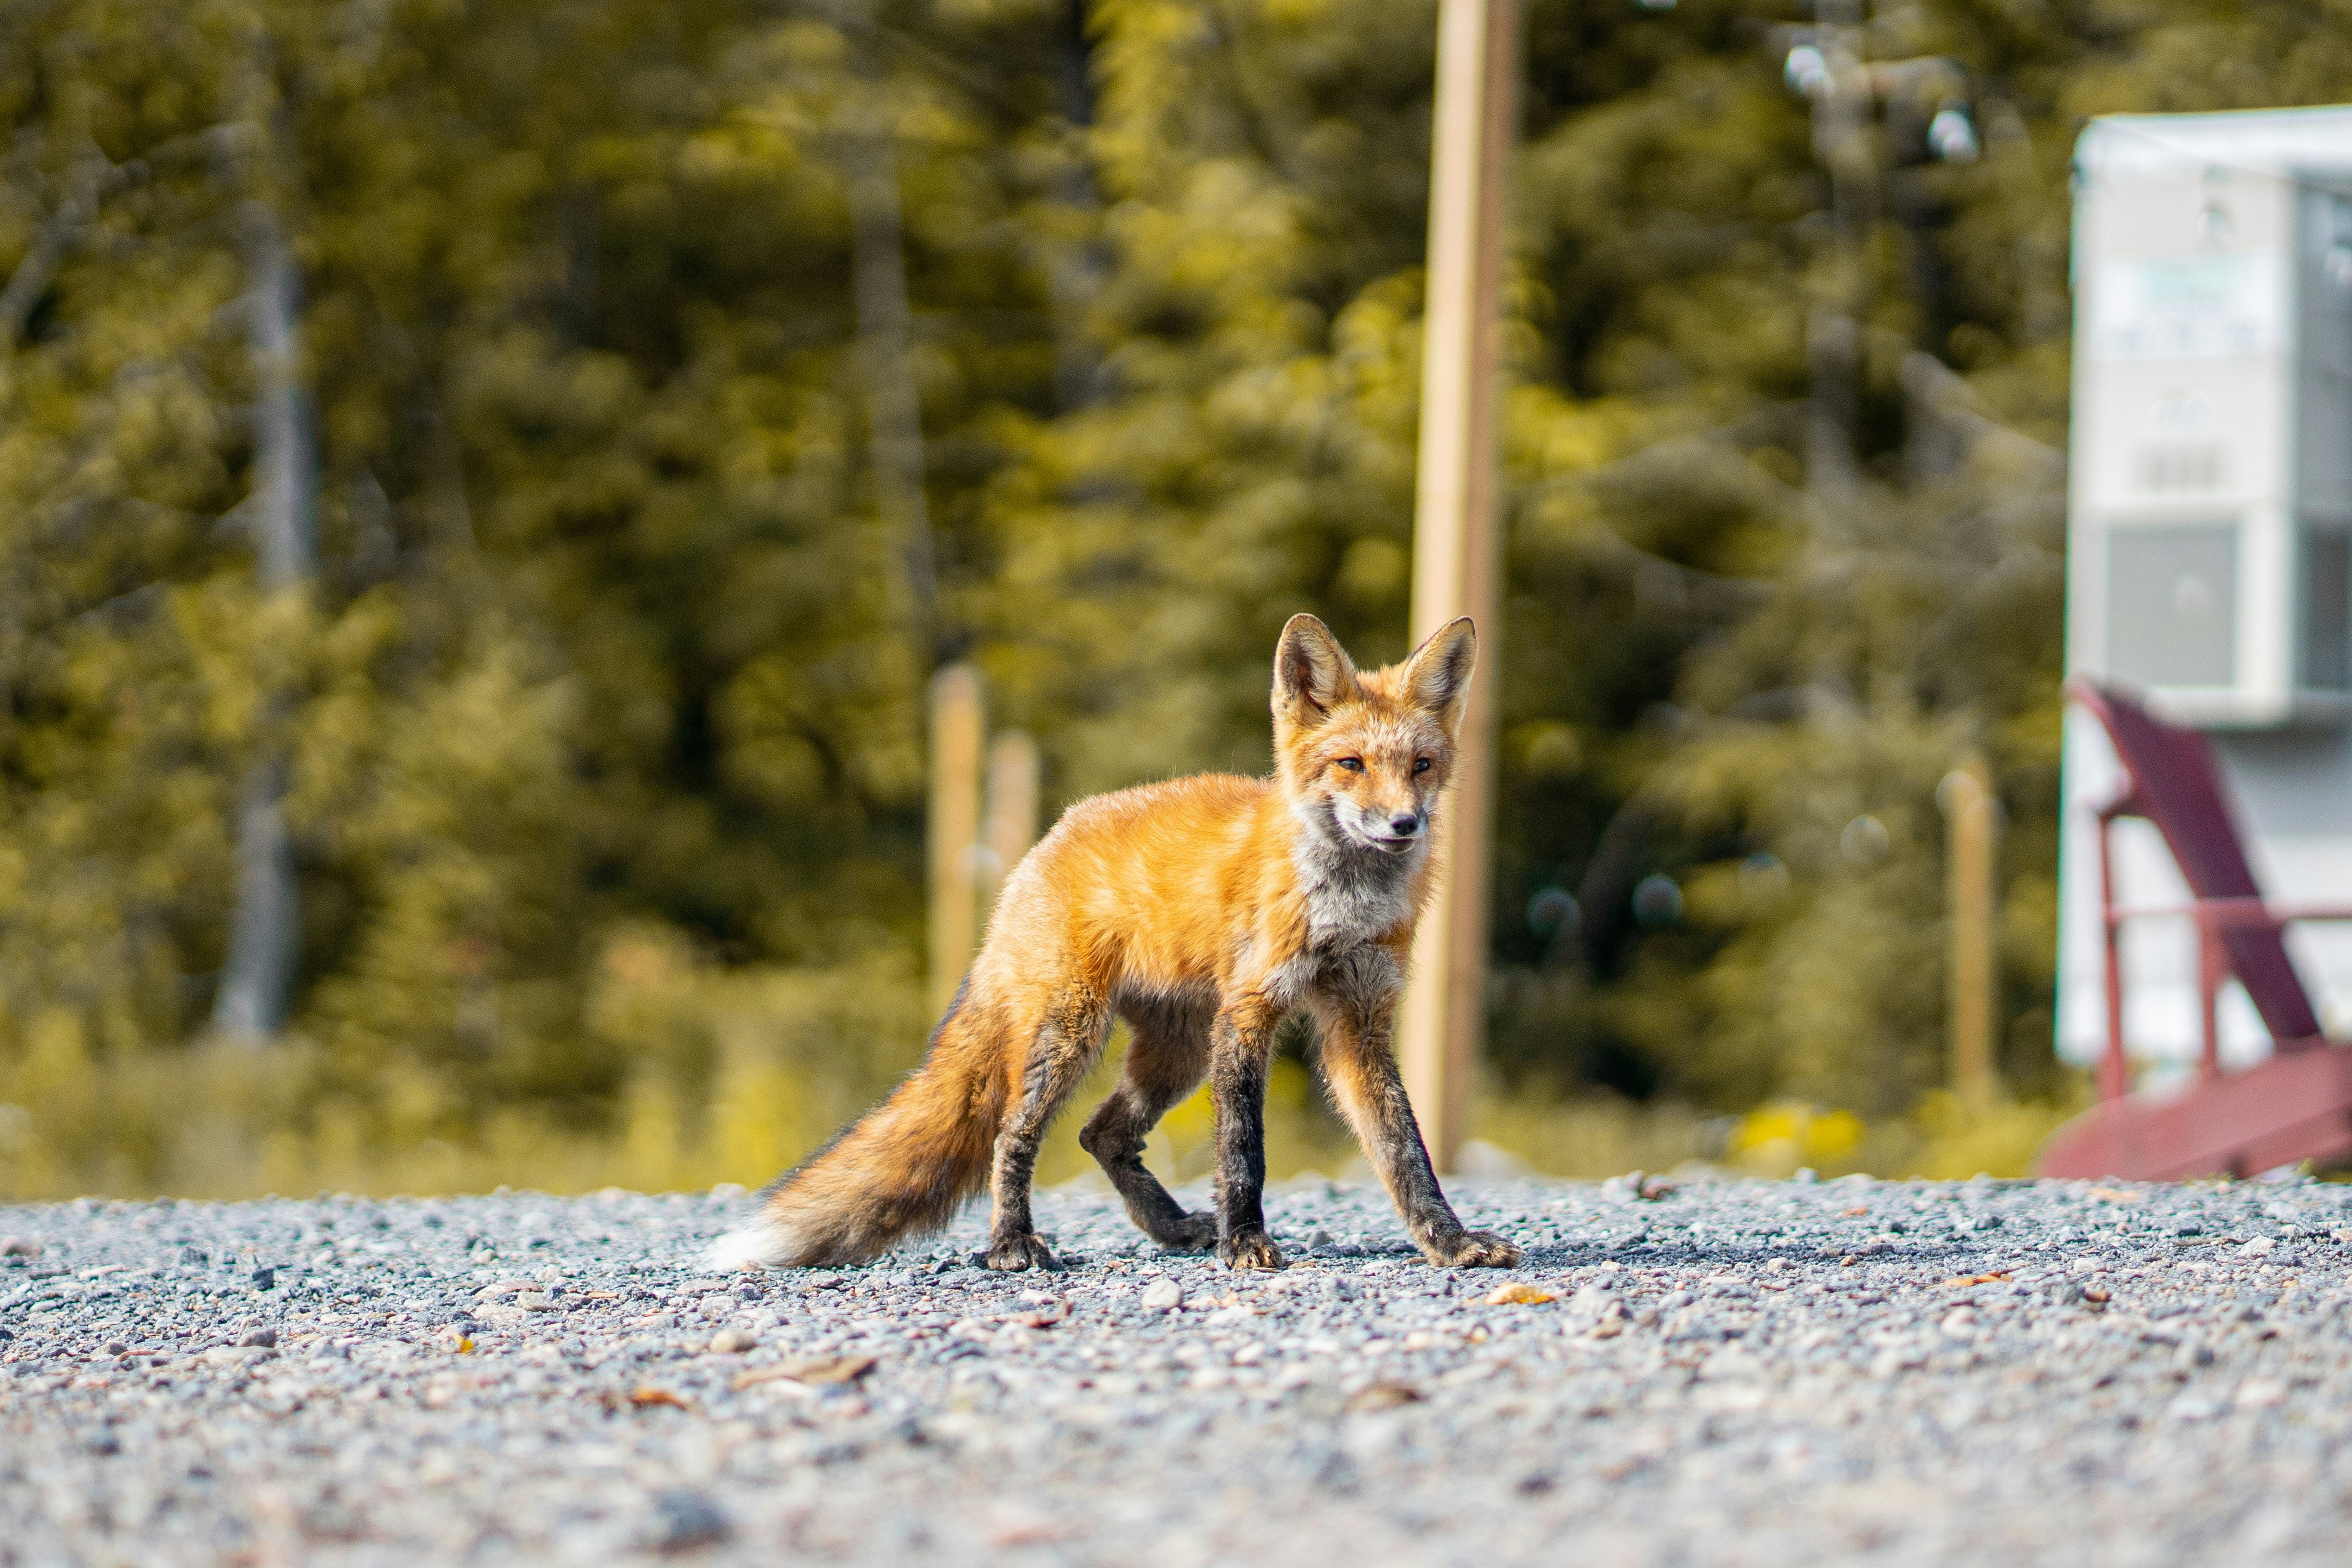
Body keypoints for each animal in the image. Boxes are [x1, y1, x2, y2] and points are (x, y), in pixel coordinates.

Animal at [709, 612, 1522, 1274]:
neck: (1344, 903)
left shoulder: (1359, 1020)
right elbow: (1244, 1149)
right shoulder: (1249, 1011)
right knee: (1013, 1135)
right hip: (1074, 1032)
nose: (1405, 824)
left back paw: (1169, 1226)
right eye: (1351, 764)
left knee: (1102, 1135)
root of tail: (1042, 845)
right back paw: (1011, 1243)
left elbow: (1404, 1149)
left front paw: (1449, 1241)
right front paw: (1245, 1242)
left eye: (1421, 766)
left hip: (1177, 1052)